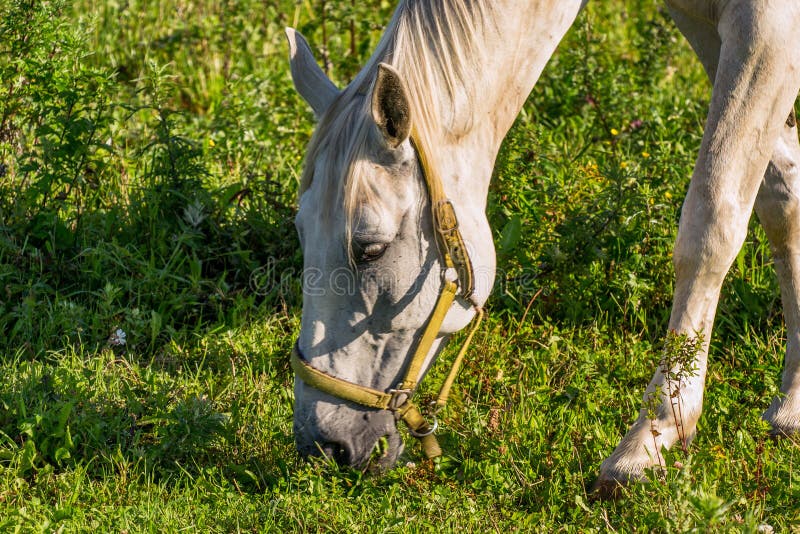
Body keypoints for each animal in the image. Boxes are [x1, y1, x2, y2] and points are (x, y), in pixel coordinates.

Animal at [286, 0, 800, 494]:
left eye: (371, 249)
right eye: (301, 232)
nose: (321, 444)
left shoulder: (766, 24)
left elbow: (710, 224)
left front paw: (651, 437)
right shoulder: (706, 21)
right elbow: (781, 194)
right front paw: (792, 403)